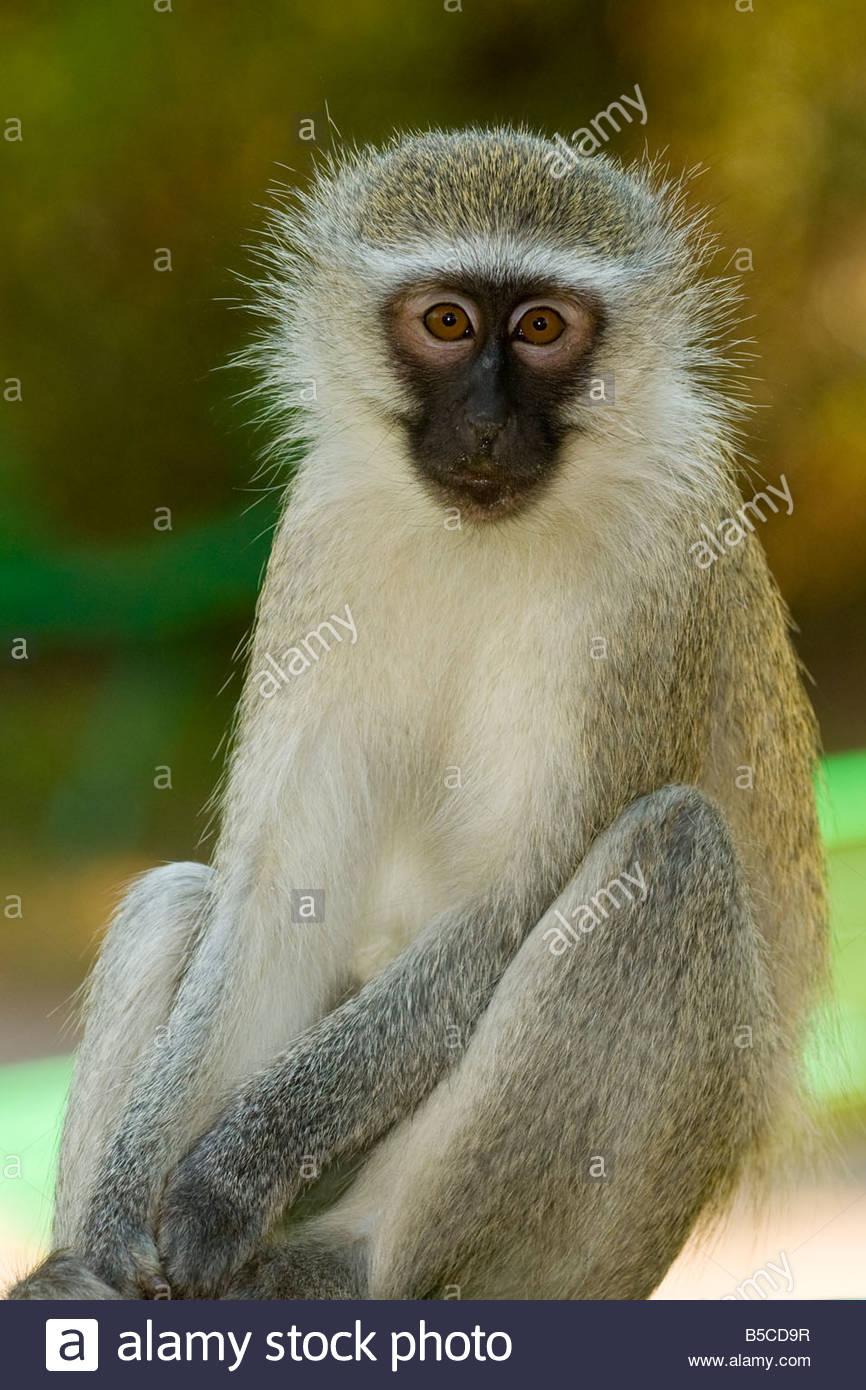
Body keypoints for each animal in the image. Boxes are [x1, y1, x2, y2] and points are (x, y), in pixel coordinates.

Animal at [8, 127, 827, 1302]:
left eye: (541, 328)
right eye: (446, 323)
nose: (485, 423)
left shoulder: (659, 571)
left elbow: (516, 901)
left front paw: (225, 1179)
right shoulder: (319, 532)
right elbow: (279, 890)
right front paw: (126, 1212)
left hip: (591, 1250)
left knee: (669, 857)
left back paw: (345, 1265)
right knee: (176, 897)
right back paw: (75, 1274)